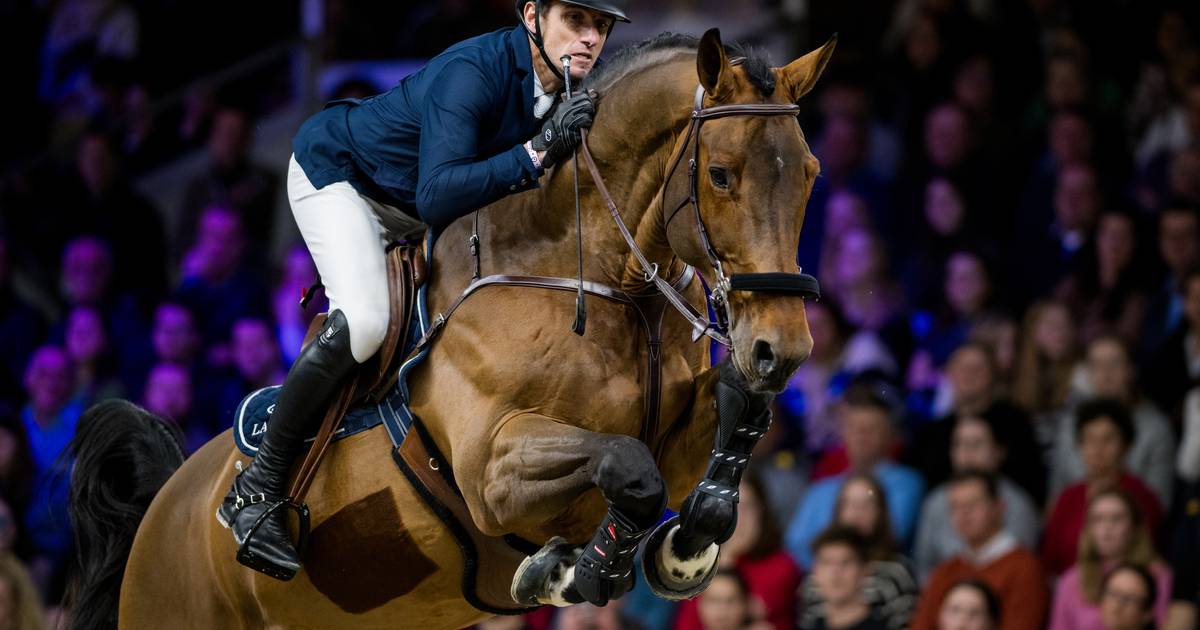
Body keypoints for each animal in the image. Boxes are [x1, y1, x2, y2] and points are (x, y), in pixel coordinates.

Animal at [68, 28, 834, 629]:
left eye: (810, 173)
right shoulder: (490, 468)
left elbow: (734, 408)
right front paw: (569, 572)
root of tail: (161, 511)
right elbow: (628, 465)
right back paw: (258, 517)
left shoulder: (679, 436)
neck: (607, 283)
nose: (785, 349)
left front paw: (687, 547)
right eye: (721, 174)